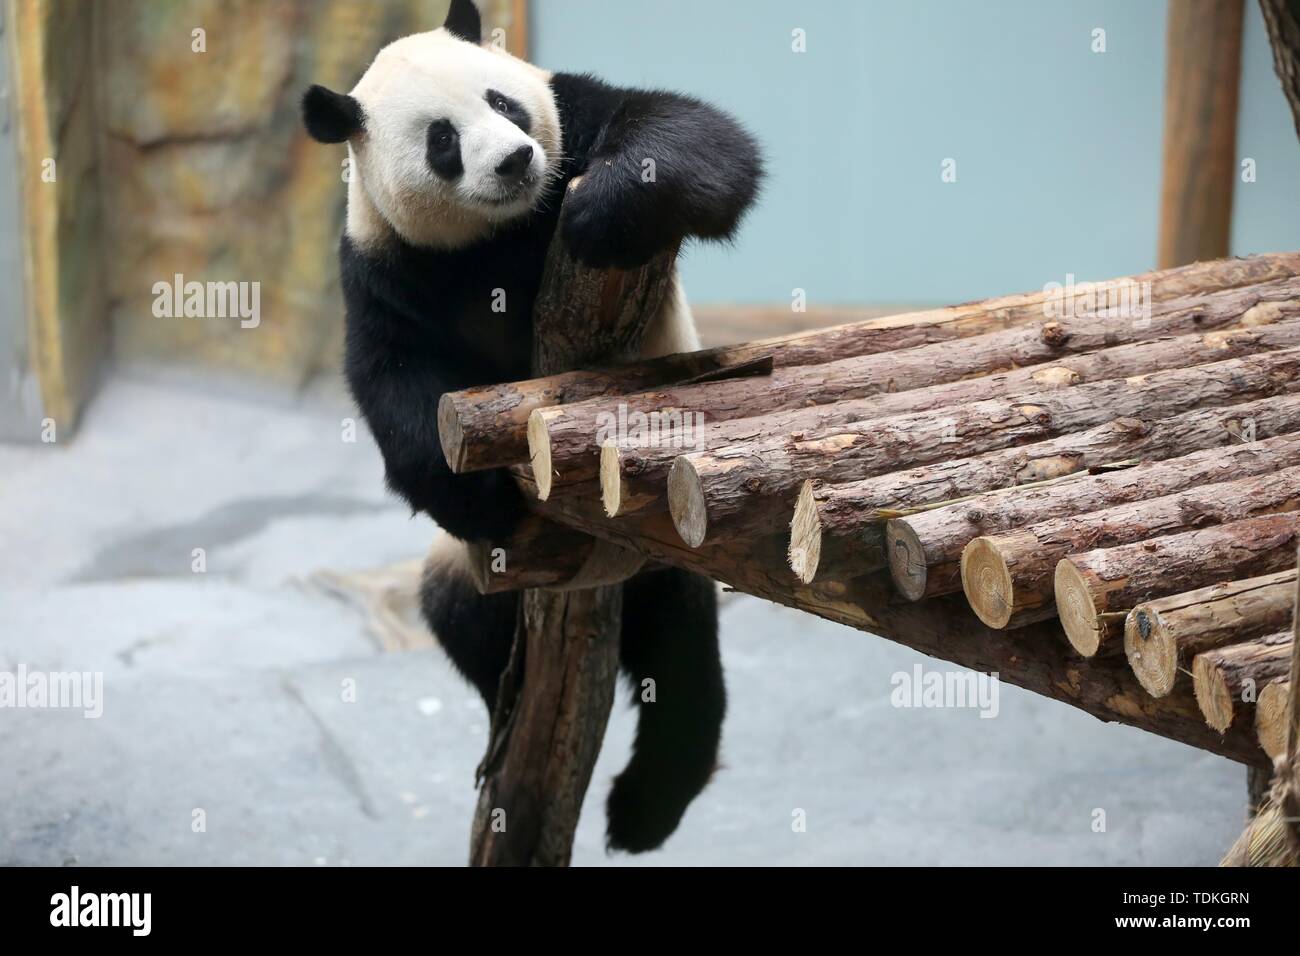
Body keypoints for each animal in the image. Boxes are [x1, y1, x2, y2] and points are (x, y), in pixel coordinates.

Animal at [301, 0, 762, 852]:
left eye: (504, 104)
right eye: (442, 141)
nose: (516, 161)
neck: (498, 234)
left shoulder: (572, 118)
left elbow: (693, 138)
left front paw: (600, 212)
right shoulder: (382, 262)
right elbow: (389, 378)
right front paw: (480, 495)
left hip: (663, 552)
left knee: (677, 656)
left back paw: (646, 807)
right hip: (471, 575)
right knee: (463, 620)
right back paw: (505, 727)